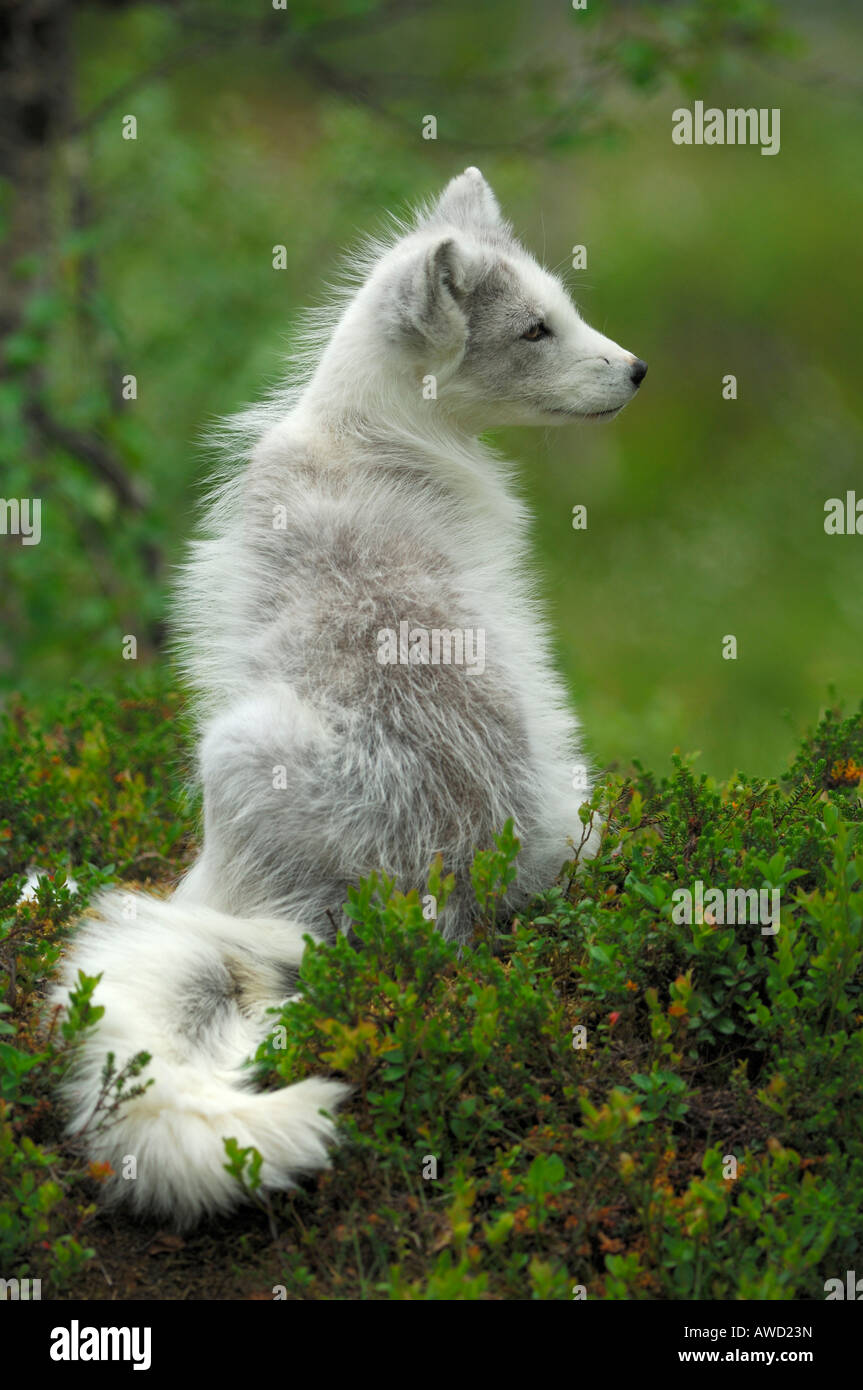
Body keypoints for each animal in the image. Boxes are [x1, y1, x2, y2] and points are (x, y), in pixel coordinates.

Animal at [52, 168, 647, 1226]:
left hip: (230, 749)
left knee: (204, 898)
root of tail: (441, 896)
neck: (364, 433)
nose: (637, 371)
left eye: (564, 314)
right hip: (571, 795)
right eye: (536, 329)